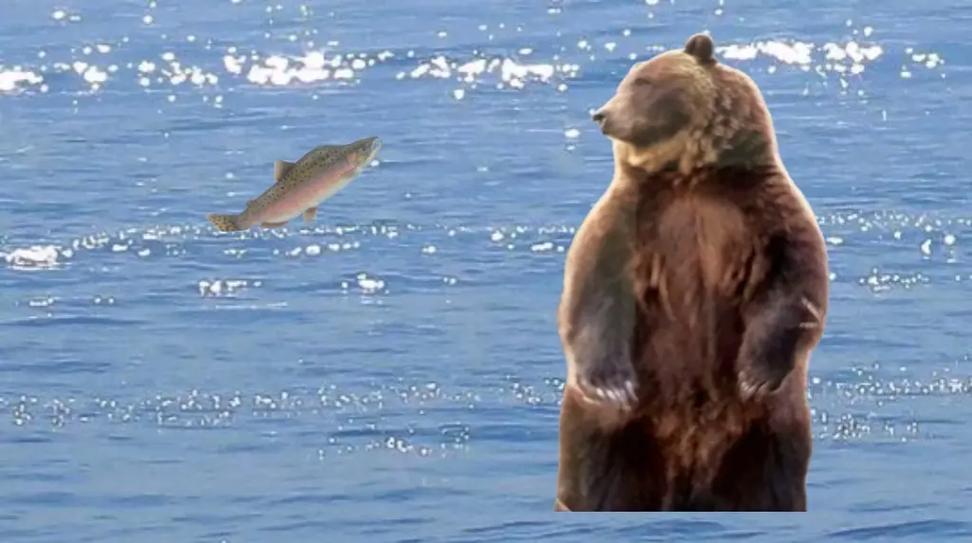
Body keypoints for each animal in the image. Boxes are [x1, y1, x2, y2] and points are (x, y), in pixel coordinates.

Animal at [554, 33, 829, 511]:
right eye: (628, 80)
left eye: (642, 81)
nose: (601, 114)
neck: (692, 175)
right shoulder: (630, 220)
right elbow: (594, 289)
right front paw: (612, 384)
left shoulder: (763, 212)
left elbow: (793, 280)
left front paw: (754, 376)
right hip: (612, 430)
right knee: (596, 475)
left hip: (768, 428)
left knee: (773, 476)